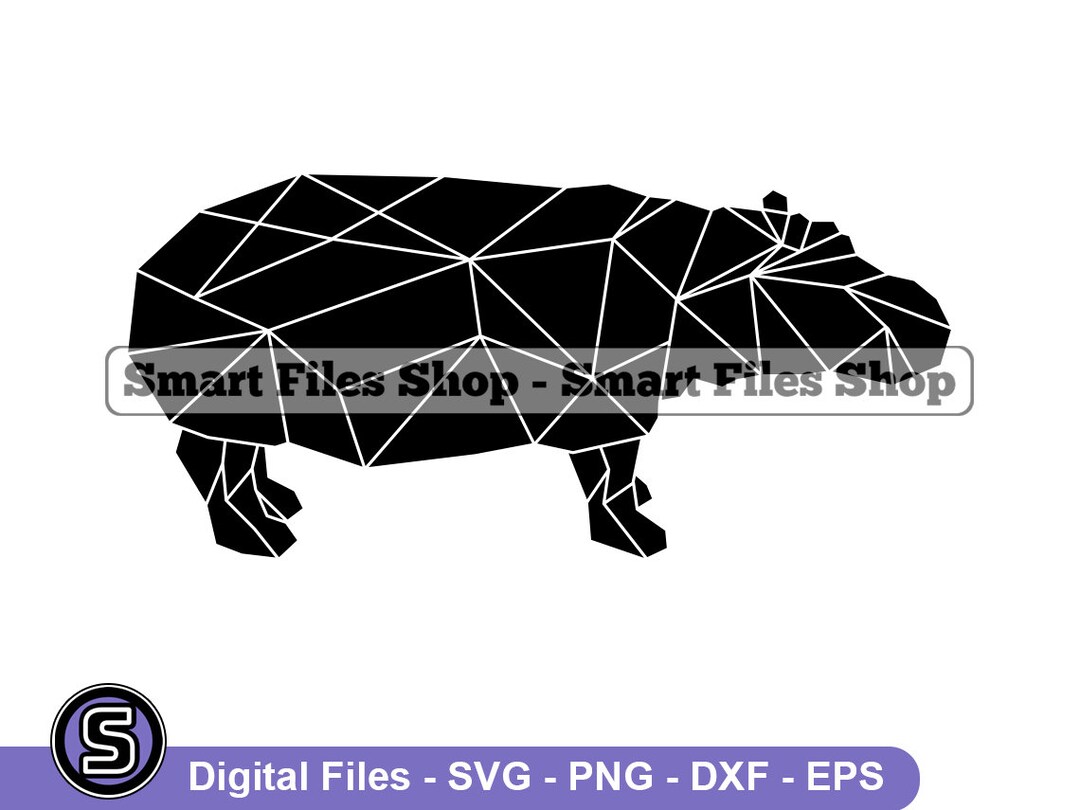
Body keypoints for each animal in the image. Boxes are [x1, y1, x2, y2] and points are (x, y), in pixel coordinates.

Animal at [129, 176, 950, 558]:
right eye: (806, 280)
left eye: (844, 239)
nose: (934, 319)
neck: (686, 279)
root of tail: (159, 260)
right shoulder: (607, 404)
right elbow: (610, 474)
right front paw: (637, 535)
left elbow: (623, 469)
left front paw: (643, 500)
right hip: (229, 396)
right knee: (208, 464)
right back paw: (261, 539)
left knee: (233, 460)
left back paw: (282, 505)